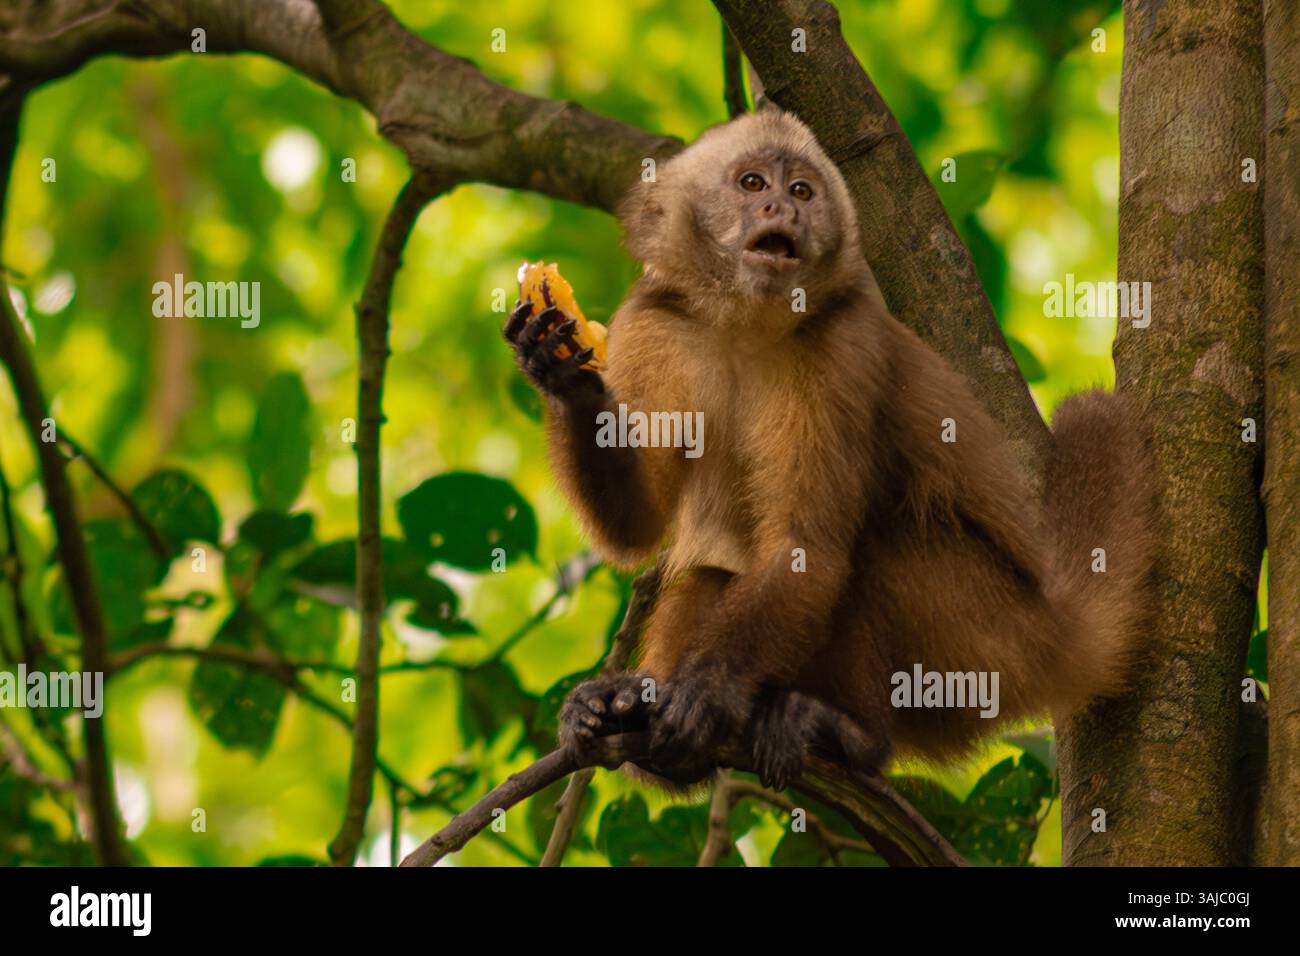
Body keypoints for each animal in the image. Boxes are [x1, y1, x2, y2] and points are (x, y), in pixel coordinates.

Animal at [503, 109, 1155, 791]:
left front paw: (708, 693)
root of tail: (1058, 629)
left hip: (993, 650)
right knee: (713, 575)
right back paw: (640, 716)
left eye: (802, 191)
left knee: (872, 546)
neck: (744, 323)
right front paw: (559, 370)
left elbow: (806, 547)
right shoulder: (654, 322)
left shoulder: (843, 342)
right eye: (753, 183)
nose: (784, 209)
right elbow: (635, 528)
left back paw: (850, 735)